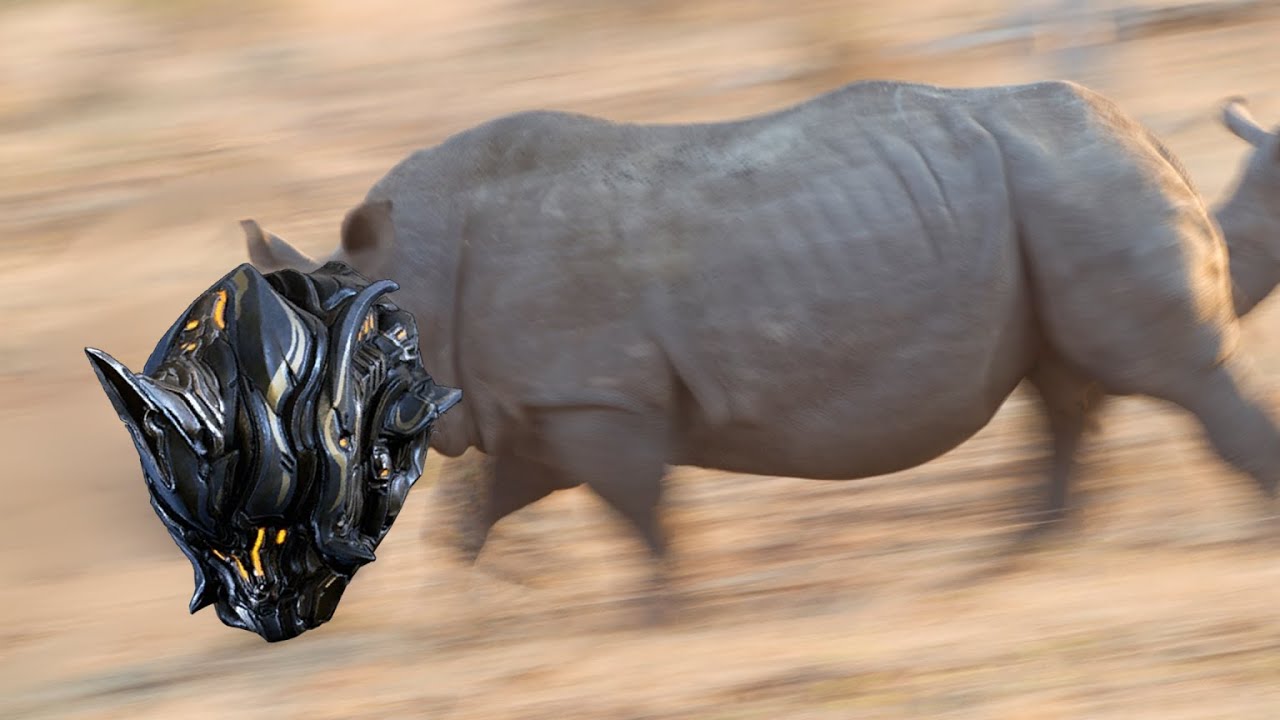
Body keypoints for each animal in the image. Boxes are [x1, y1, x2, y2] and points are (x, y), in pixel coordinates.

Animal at [243, 80, 1280, 608]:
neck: (408, 280)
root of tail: (1140, 129)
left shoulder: (594, 397)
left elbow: (639, 513)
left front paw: (668, 614)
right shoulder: (540, 405)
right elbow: (489, 511)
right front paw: (475, 613)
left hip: (1082, 182)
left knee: (1172, 375)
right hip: (1053, 195)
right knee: (1060, 391)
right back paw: (1019, 563)